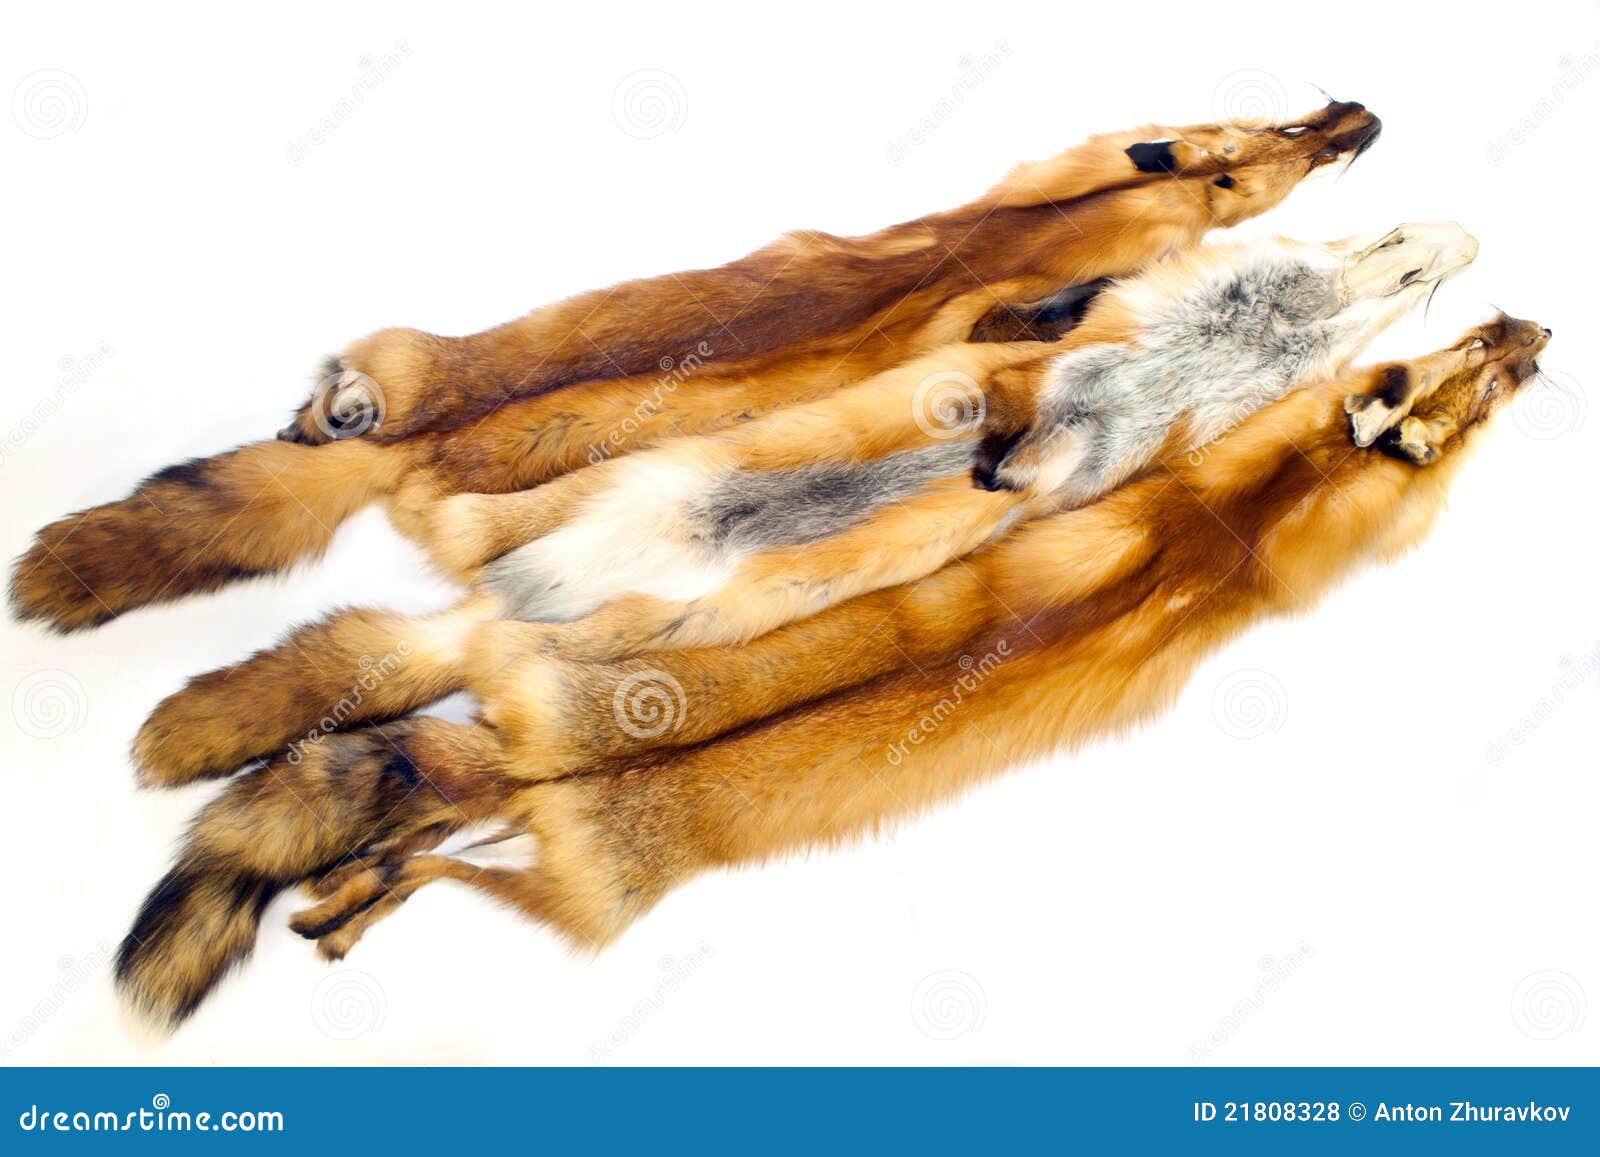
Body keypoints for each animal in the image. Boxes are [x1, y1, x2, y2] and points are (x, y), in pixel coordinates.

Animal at [113, 315, 1553, 1024]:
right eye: (1481, 372)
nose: (1537, 327)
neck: (1231, 520)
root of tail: (554, 764)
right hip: (575, 876)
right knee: (420, 826)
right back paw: (338, 893)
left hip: (549, 866)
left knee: (414, 842)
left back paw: (336, 907)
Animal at [129, 223, 1479, 787]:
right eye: (1403, 256)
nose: (1460, 244)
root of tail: (523, 600)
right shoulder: (1089, 377)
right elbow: (1036, 397)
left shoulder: (1111, 430)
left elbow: (1040, 451)